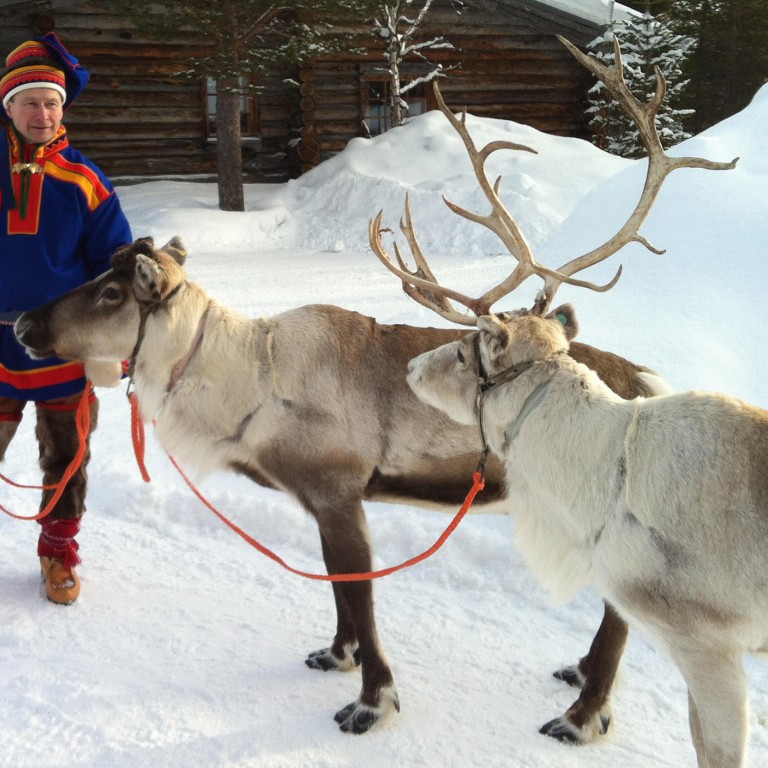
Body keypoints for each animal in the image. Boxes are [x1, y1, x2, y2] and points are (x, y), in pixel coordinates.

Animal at [14, 37, 683, 742]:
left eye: (113, 292)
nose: (24, 322)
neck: (248, 387)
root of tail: (647, 380)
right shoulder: (320, 498)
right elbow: (336, 585)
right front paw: (337, 655)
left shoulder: (337, 488)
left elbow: (359, 593)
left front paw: (372, 700)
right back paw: (579, 676)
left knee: (620, 612)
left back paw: (581, 715)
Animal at [372, 36, 748, 768]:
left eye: (467, 347)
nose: (409, 366)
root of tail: (643, 377)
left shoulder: (709, 635)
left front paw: (586, 719)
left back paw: (583, 707)